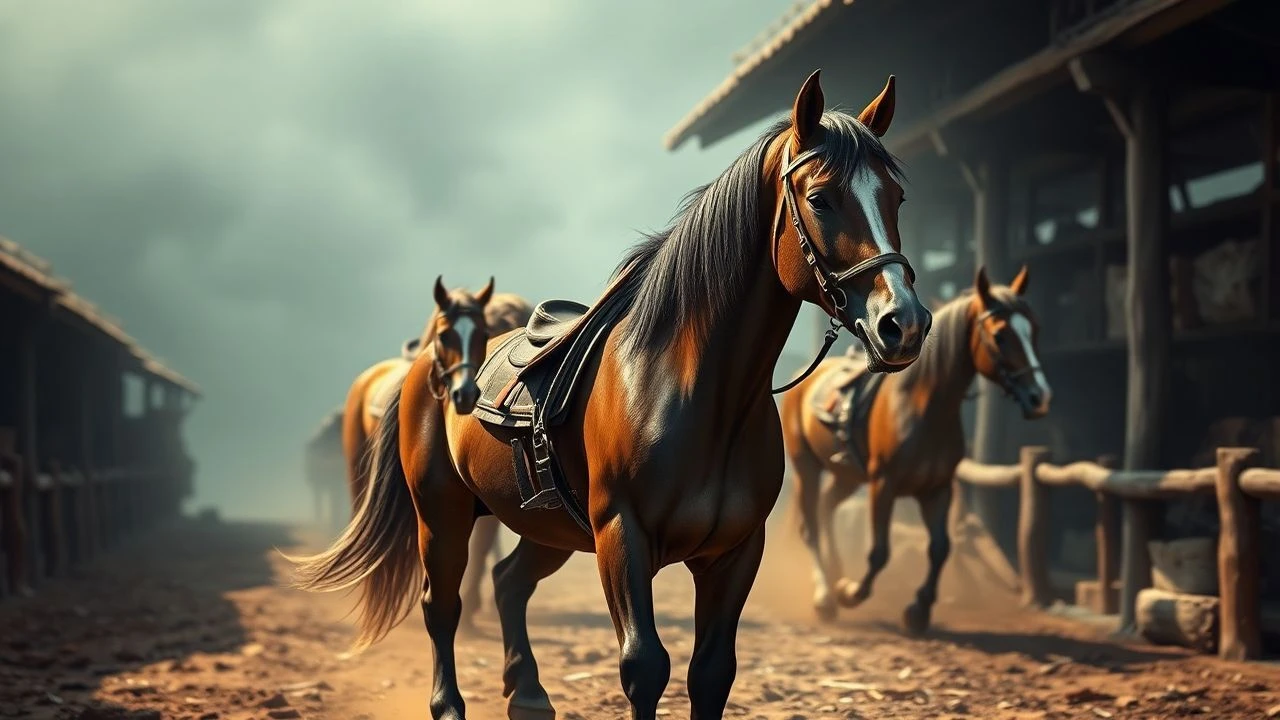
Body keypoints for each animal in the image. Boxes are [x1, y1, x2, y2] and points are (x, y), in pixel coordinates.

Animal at [780, 265, 1053, 635]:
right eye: (1000, 336)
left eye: (1033, 330)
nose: (1040, 397)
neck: (922, 405)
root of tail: (802, 379)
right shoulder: (884, 484)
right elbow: (880, 552)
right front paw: (851, 593)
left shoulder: (938, 489)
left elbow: (940, 548)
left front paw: (918, 610)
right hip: (806, 465)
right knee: (809, 522)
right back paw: (826, 597)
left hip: (846, 475)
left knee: (825, 508)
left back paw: (836, 575)